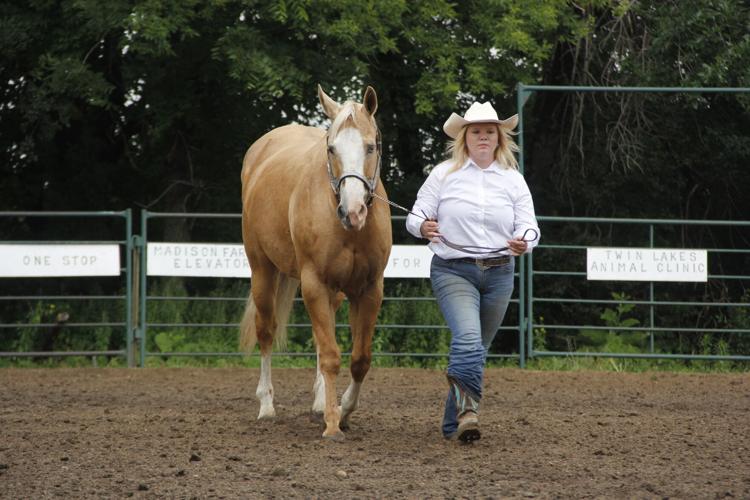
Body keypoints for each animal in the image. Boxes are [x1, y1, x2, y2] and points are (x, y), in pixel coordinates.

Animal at [239, 85, 392, 440]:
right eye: (332, 148)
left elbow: (359, 359)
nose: (352, 211)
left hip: (331, 294)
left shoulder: (369, 290)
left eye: (370, 146)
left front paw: (342, 410)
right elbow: (333, 357)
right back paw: (266, 406)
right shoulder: (314, 284)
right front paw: (334, 425)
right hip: (263, 272)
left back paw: (322, 402)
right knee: (266, 331)